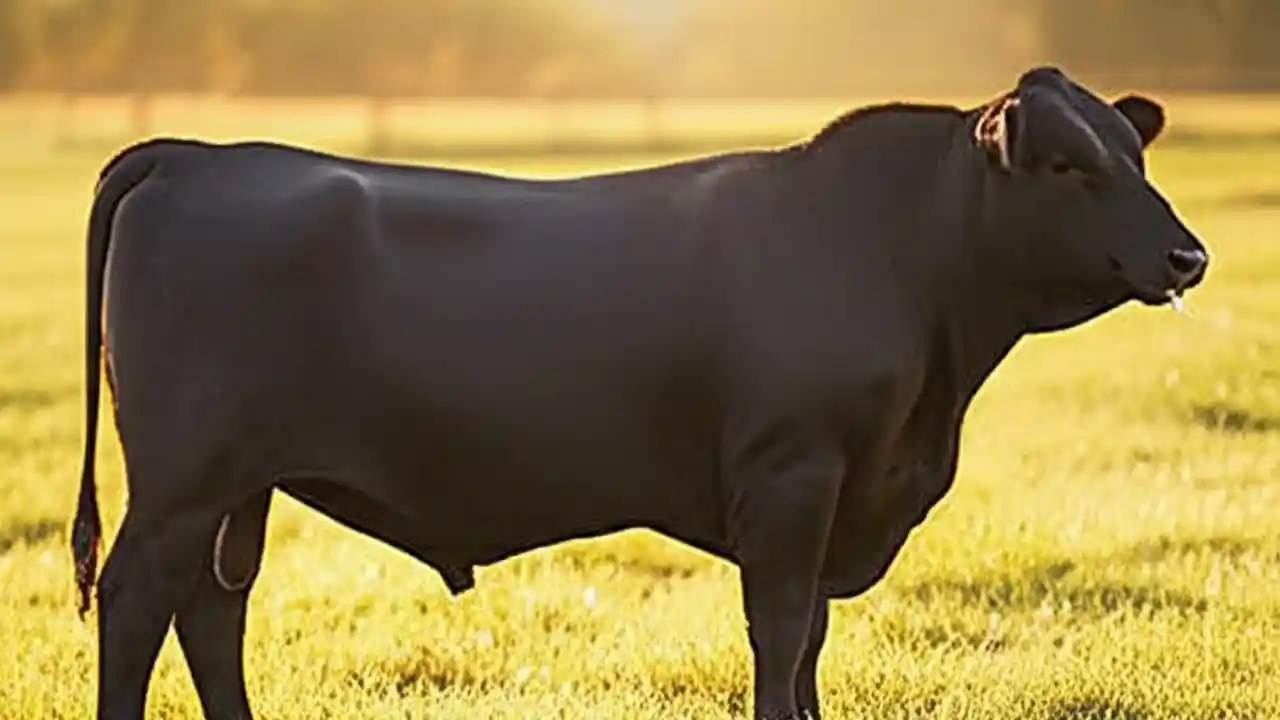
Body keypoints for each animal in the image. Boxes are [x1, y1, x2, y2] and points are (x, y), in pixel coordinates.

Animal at [71, 67, 1207, 720]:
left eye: (1134, 151)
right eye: (1065, 165)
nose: (1187, 256)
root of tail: (202, 155)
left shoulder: (834, 496)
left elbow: (809, 643)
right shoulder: (792, 479)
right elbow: (780, 634)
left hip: (234, 486)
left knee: (211, 612)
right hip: (178, 483)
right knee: (136, 605)